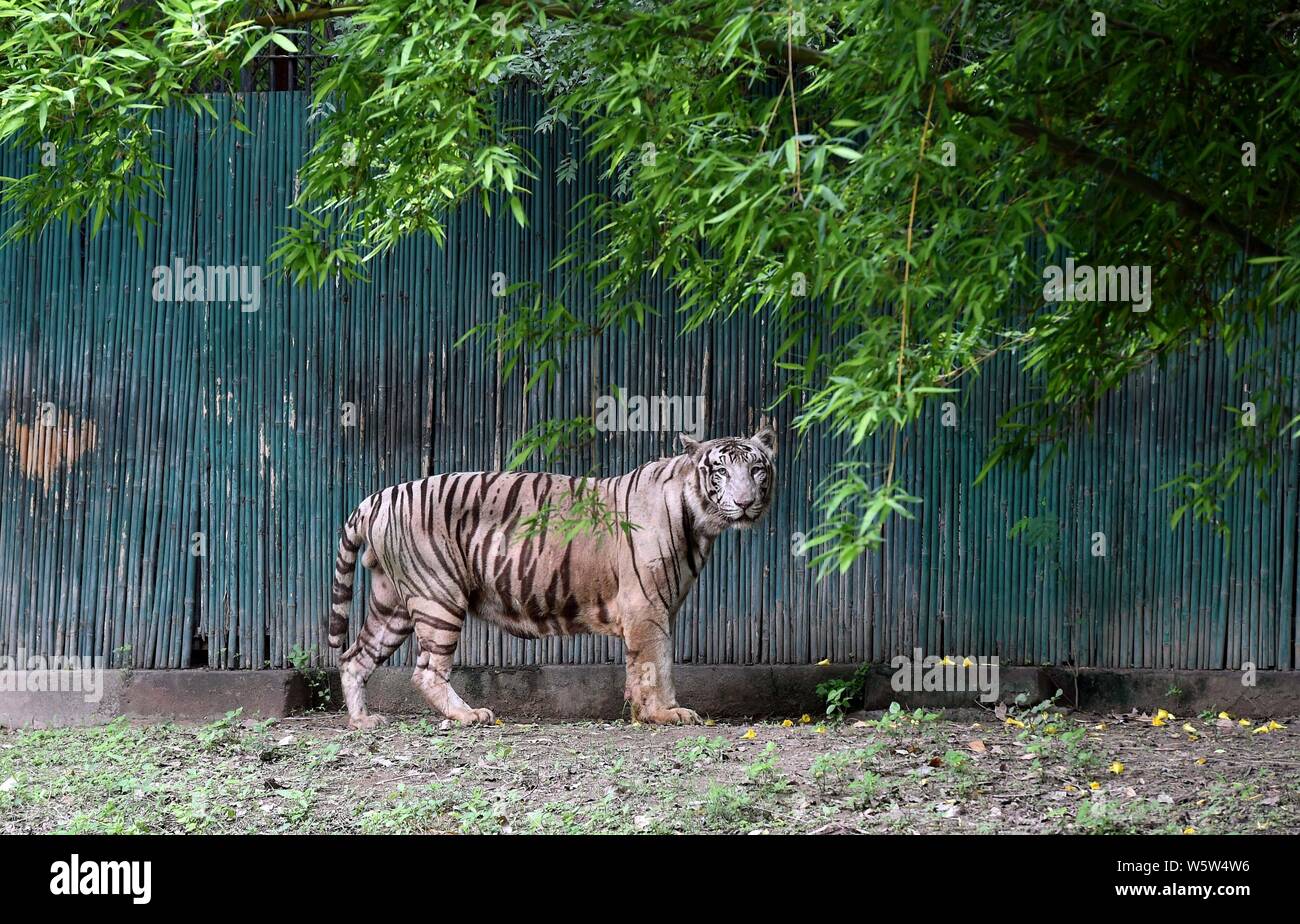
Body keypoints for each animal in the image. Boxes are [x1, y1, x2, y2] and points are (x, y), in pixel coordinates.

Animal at [327, 420, 777, 728]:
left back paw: (363, 721)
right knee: (424, 671)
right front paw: (663, 714)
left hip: (393, 605)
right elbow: (656, 663)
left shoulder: (662, 608)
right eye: (720, 471)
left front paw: (648, 711)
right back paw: (469, 715)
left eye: (757, 470)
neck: (700, 524)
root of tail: (377, 495)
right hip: (438, 596)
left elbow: (653, 665)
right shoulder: (646, 607)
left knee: (354, 658)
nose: (746, 502)